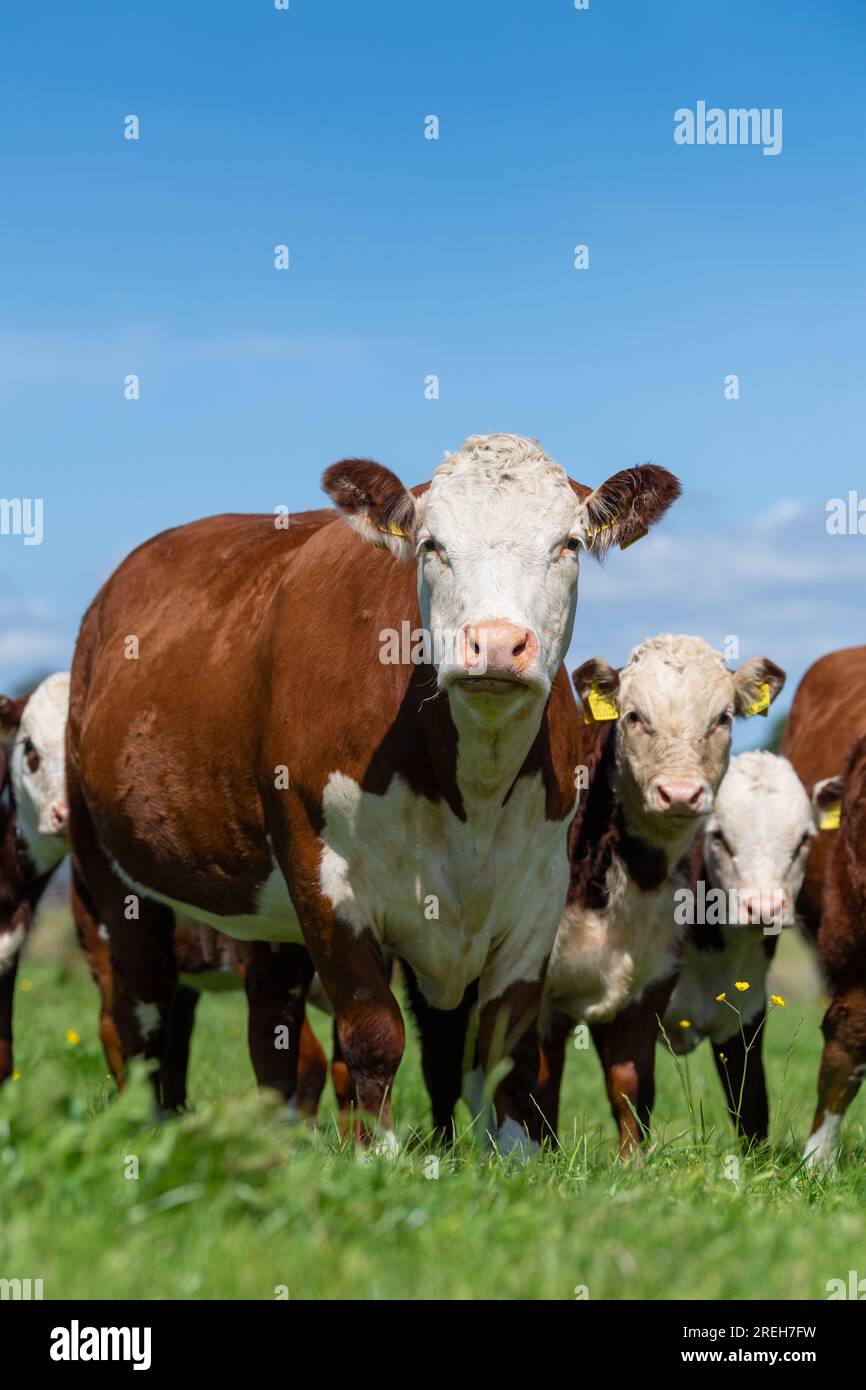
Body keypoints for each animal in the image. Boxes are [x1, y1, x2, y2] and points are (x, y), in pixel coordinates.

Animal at [66, 433, 680, 1152]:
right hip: (111, 872)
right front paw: (377, 1156)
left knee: (271, 1019)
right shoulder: (326, 879)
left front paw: (516, 1156)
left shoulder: (537, 892)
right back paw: (152, 1125)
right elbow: (373, 1033)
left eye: (569, 544)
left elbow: (506, 1048)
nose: (497, 644)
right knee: (142, 1010)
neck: (472, 789)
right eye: (432, 544)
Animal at [535, 635, 785, 1153]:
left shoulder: (651, 982)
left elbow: (631, 1086)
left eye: (723, 718)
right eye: (633, 716)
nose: (680, 793)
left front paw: (633, 1162)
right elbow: (540, 1083)